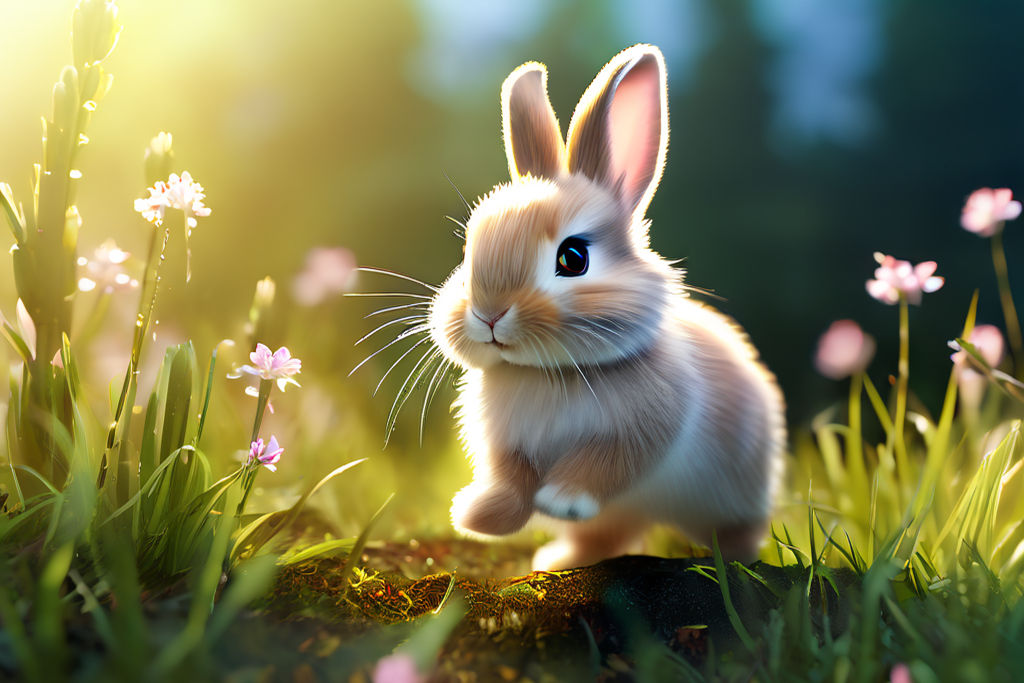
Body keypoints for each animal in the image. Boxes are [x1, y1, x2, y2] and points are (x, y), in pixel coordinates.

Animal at [427, 44, 786, 571]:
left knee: (732, 533)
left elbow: (600, 466)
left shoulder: (639, 431)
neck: (551, 374)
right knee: (605, 538)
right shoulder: (508, 446)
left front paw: (560, 500)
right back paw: (555, 561)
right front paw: (477, 515)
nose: (488, 315)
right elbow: (512, 483)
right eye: (468, 251)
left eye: (573, 258)